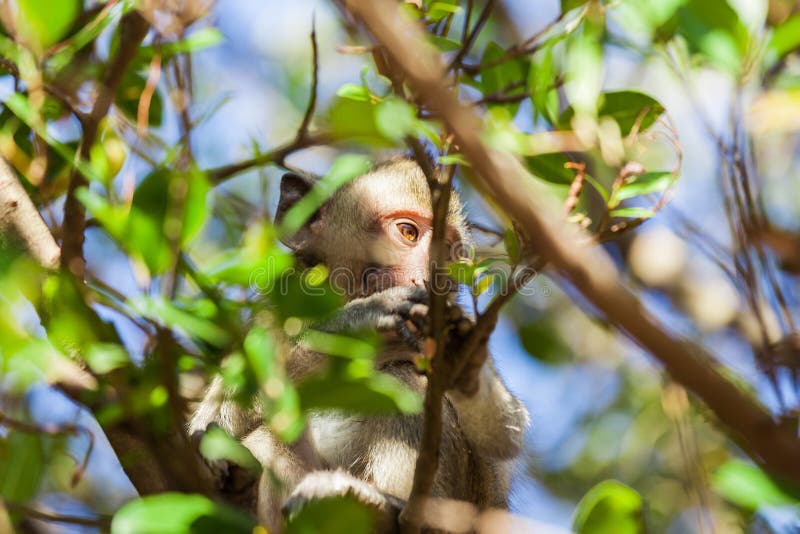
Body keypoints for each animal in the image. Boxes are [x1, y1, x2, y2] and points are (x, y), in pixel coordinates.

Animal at [189, 158, 529, 532]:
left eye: (449, 255)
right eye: (408, 233)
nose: (431, 279)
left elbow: (504, 433)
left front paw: (458, 359)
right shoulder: (271, 320)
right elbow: (208, 431)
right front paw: (362, 322)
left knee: (406, 384)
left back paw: (387, 509)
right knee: (267, 440)